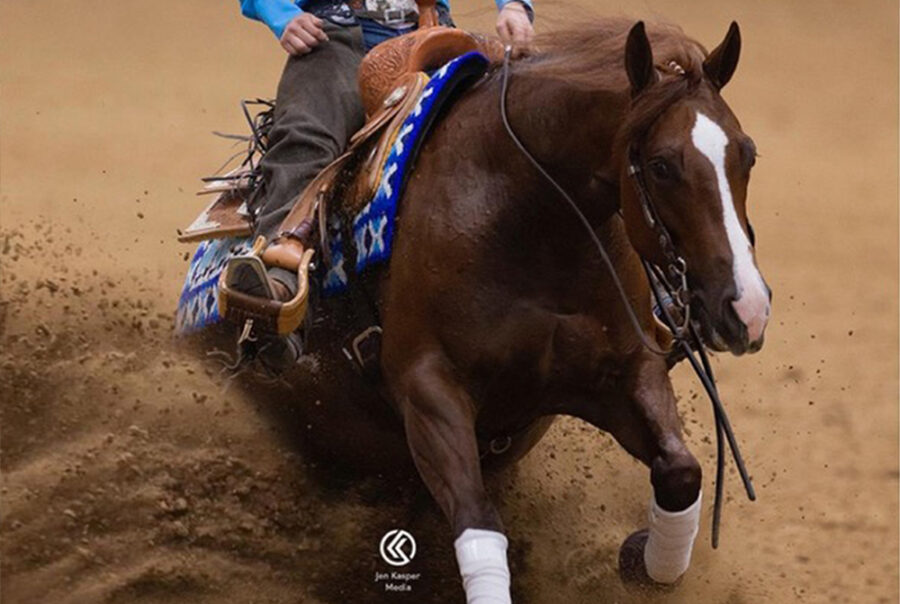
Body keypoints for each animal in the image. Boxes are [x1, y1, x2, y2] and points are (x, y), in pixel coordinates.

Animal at [225, 17, 770, 602]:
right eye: (662, 165)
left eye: (747, 154)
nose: (748, 308)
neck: (525, 209)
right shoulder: (427, 385)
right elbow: (476, 519)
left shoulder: (624, 372)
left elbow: (680, 472)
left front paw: (641, 561)